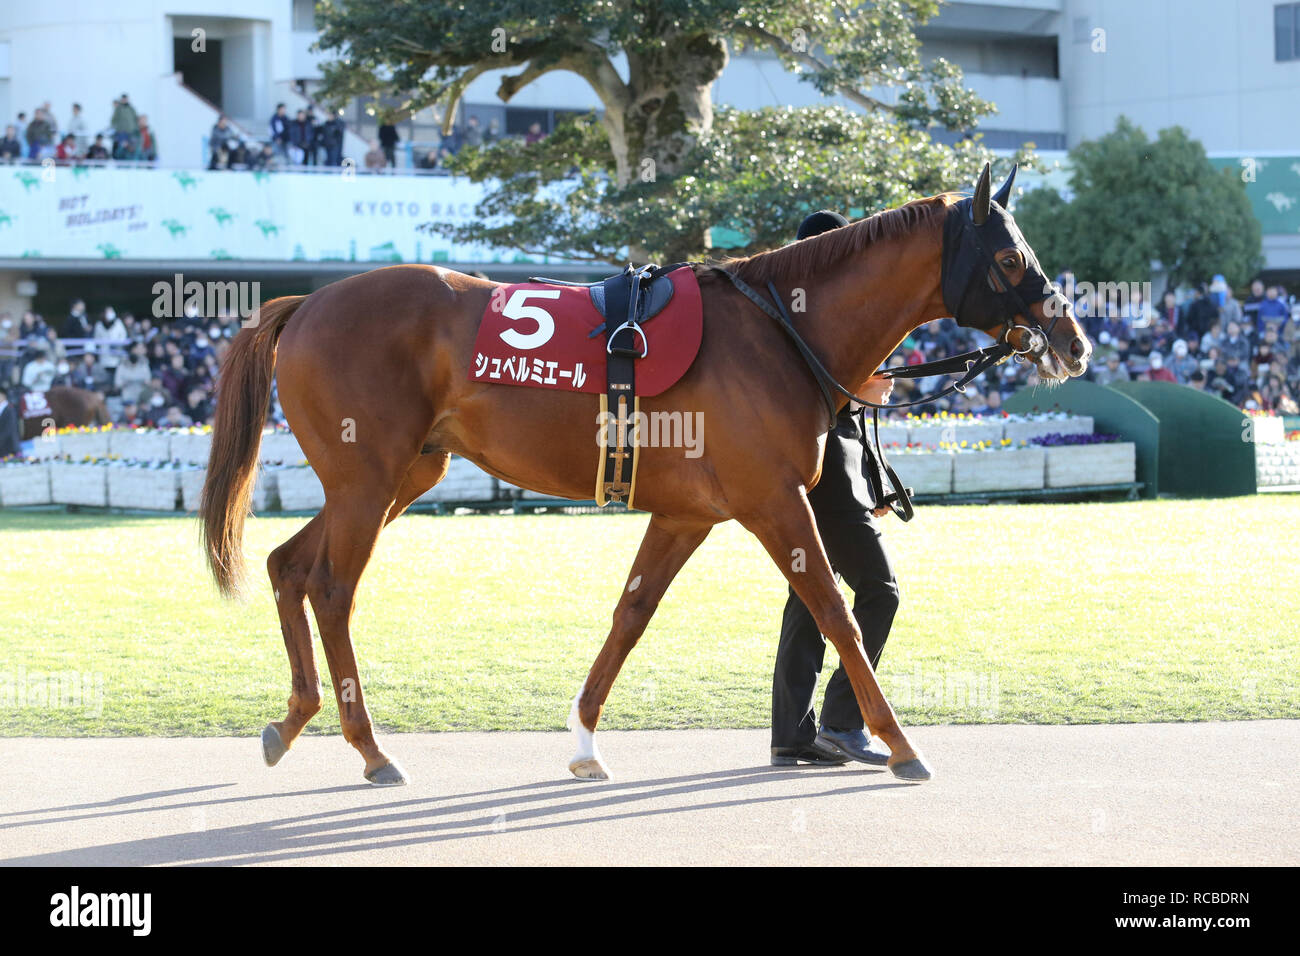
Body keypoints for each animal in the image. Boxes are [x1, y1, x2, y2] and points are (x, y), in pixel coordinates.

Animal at [200, 163, 1090, 786]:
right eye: (1011, 254)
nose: (1074, 341)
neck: (779, 329)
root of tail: (306, 305)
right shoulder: (774, 502)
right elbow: (836, 612)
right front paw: (902, 743)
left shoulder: (686, 514)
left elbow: (631, 615)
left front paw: (585, 741)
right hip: (368, 480)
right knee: (331, 589)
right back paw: (371, 749)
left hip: (399, 477)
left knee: (288, 566)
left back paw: (292, 720)